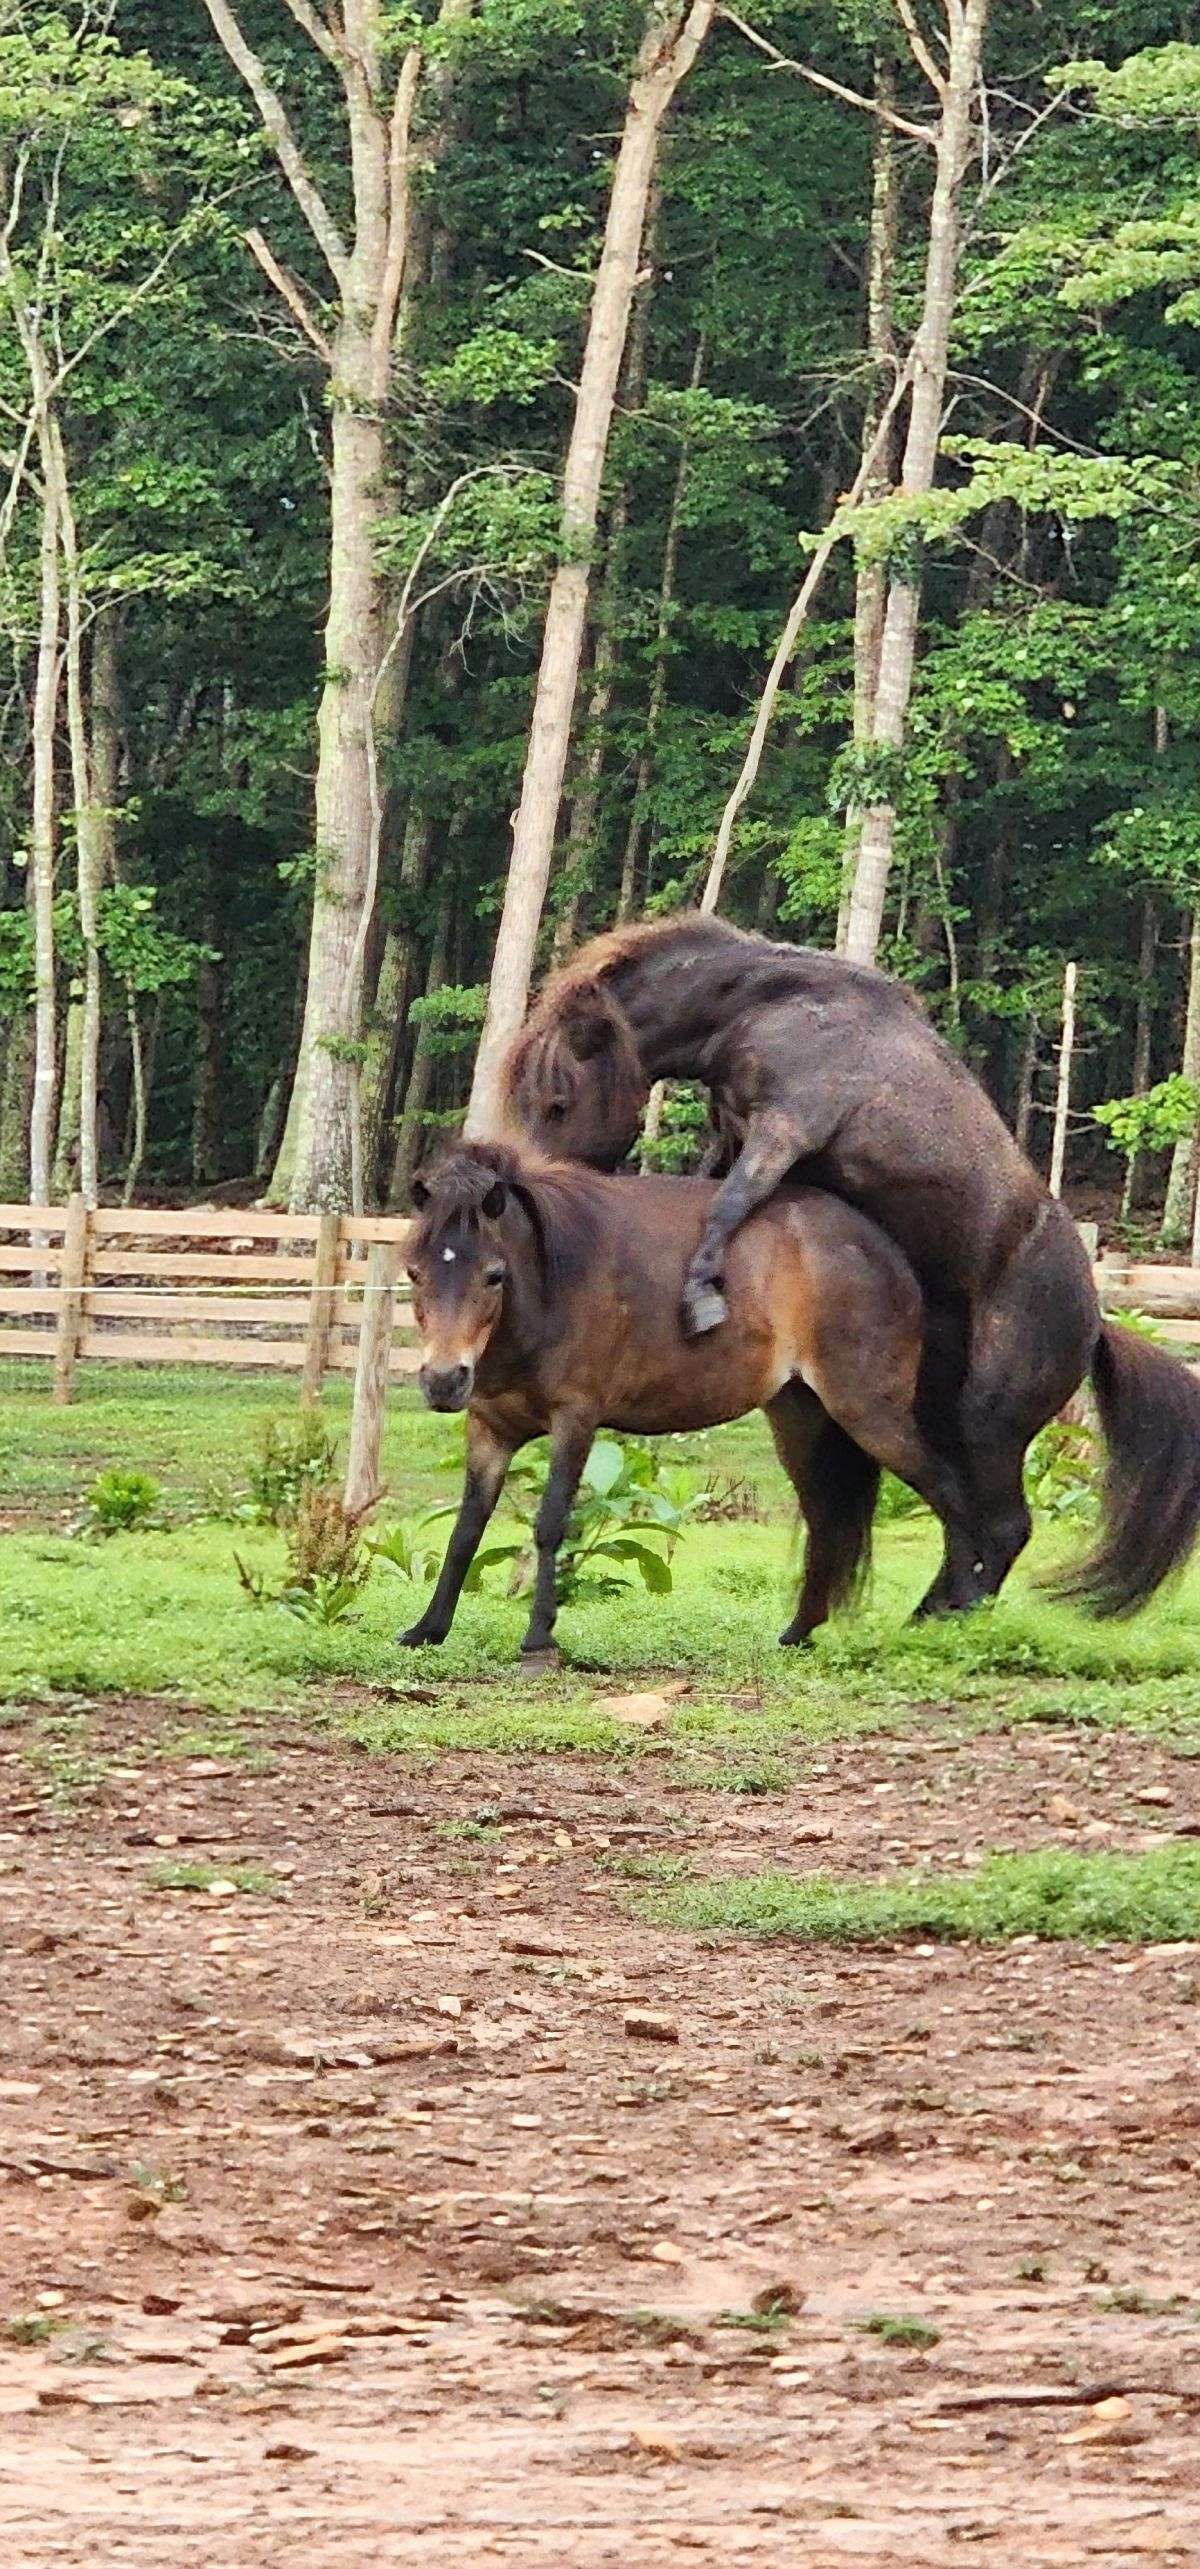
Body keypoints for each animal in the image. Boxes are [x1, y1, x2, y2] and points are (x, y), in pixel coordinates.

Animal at [400, 1141, 1005, 1661]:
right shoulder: (489, 1428)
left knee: (951, 1496)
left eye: (493, 1275)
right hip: (801, 1420)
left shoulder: (576, 1420)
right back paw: (799, 1633)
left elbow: (550, 1523)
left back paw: (964, 1612)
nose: (444, 1380)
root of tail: (887, 1252)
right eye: (414, 1272)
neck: (551, 1286)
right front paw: (428, 1628)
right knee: (827, 1521)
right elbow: (467, 1528)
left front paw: (539, 1639)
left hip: (870, 1413)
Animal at [501, 911, 1200, 1618]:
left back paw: (943, 1620)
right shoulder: (735, 1133)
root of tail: (1096, 1325)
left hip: (988, 1423)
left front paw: (700, 1297)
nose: (536, 1206)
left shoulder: (785, 1129)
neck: (765, 1005)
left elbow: (728, 1206)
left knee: (1002, 1525)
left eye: (557, 1101)